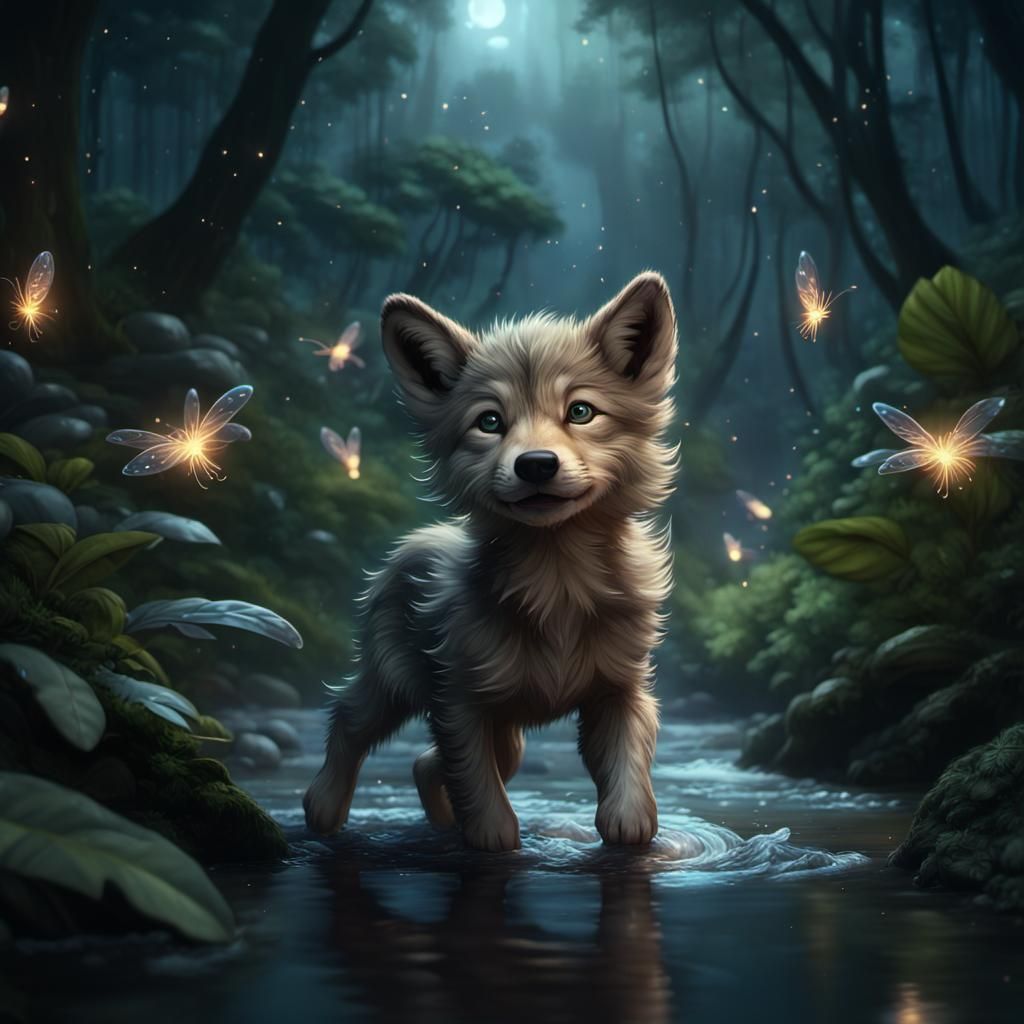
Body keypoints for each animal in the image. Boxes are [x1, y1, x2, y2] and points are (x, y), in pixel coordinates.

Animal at [303, 272, 678, 851]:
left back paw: (438, 825)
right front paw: (490, 836)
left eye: (580, 411)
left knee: (424, 763)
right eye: (490, 422)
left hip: (508, 730)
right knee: (350, 716)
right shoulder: (459, 700)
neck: (557, 579)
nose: (537, 465)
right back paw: (322, 808)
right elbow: (476, 782)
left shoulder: (620, 686)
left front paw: (631, 824)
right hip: (395, 682)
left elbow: (628, 760)